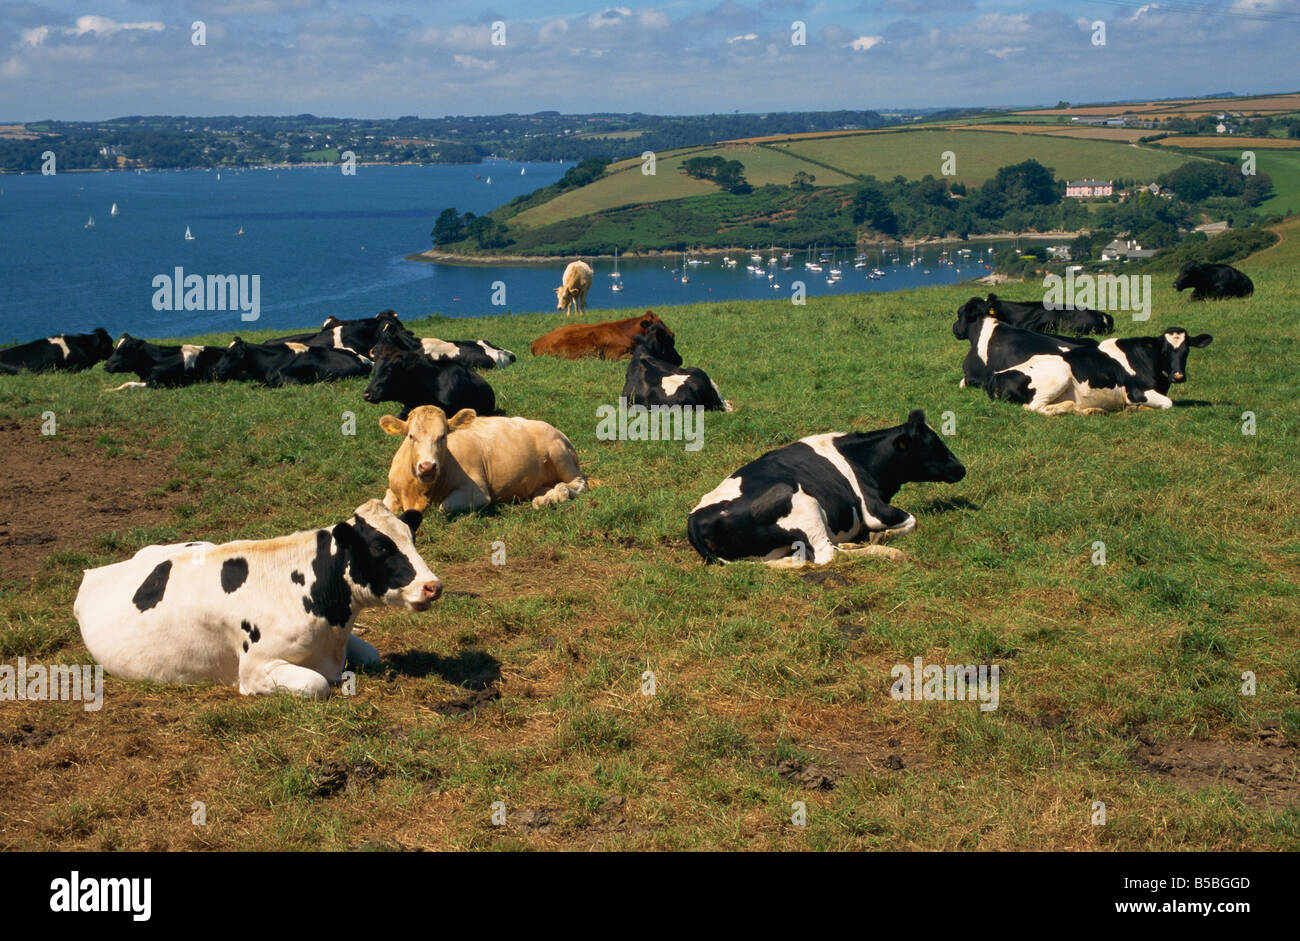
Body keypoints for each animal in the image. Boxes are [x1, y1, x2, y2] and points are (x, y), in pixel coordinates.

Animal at [76, 499, 441, 696]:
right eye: (380, 547)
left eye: (411, 536)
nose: (432, 586)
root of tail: (96, 571)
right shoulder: (255, 669)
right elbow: (316, 684)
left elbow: (372, 654)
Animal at [691, 410, 967, 566]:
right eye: (932, 444)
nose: (961, 468)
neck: (861, 459)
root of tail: (694, 519)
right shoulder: (874, 510)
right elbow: (912, 520)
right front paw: (882, 536)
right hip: (804, 505)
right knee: (827, 555)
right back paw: (885, 552)